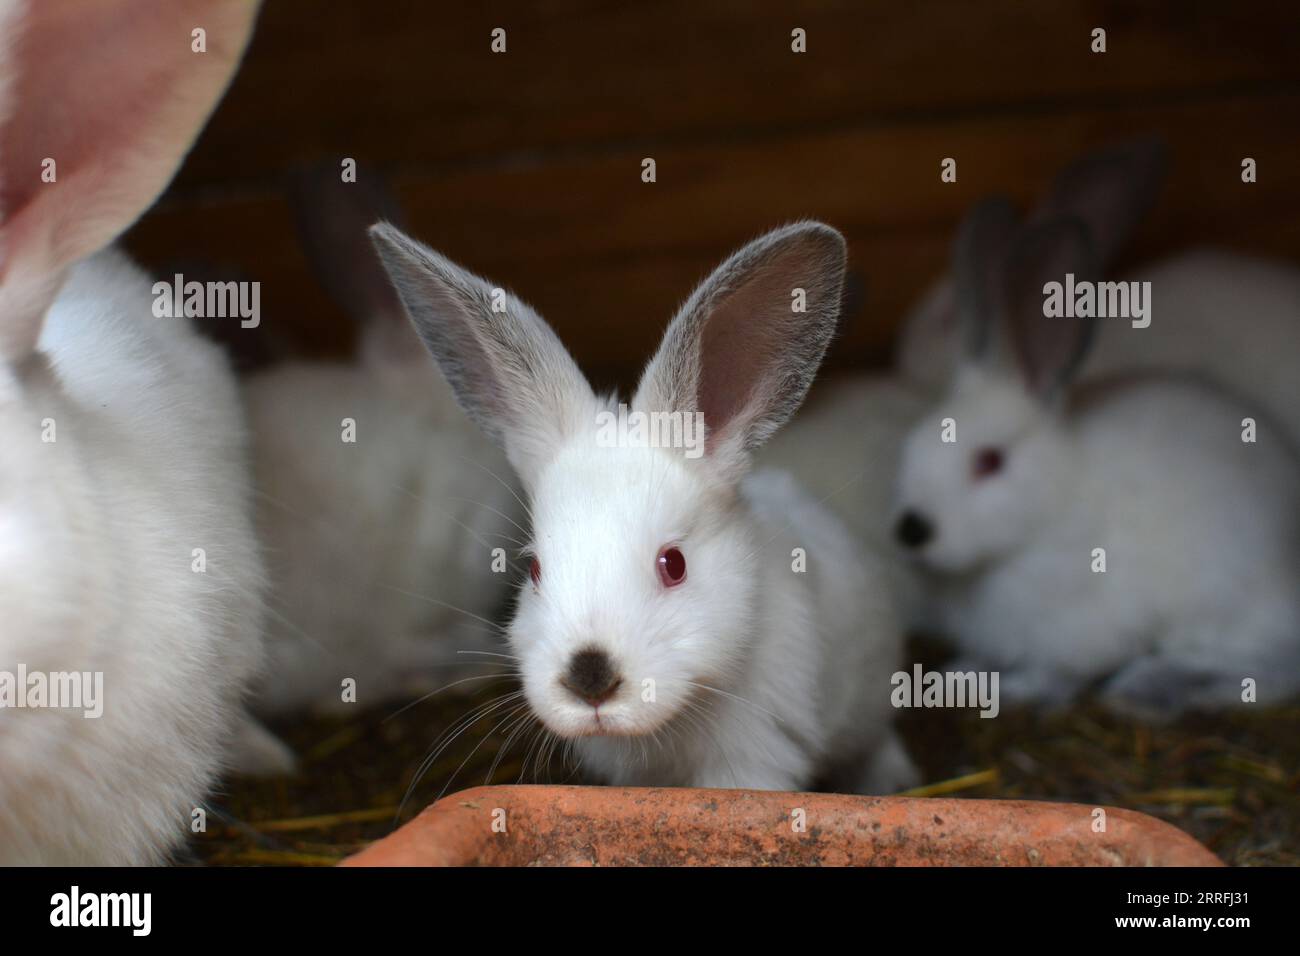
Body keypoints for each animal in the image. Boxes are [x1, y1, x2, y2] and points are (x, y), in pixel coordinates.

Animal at [891, 198, 1300, 720]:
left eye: (989, 461)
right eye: (913, 441)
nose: (912, 529)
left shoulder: (1081, 633)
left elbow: (1057, 674)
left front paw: (1018, 690)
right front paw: (957, 674)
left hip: (1227, 604)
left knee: (1267, 668)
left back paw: (1152, 686)